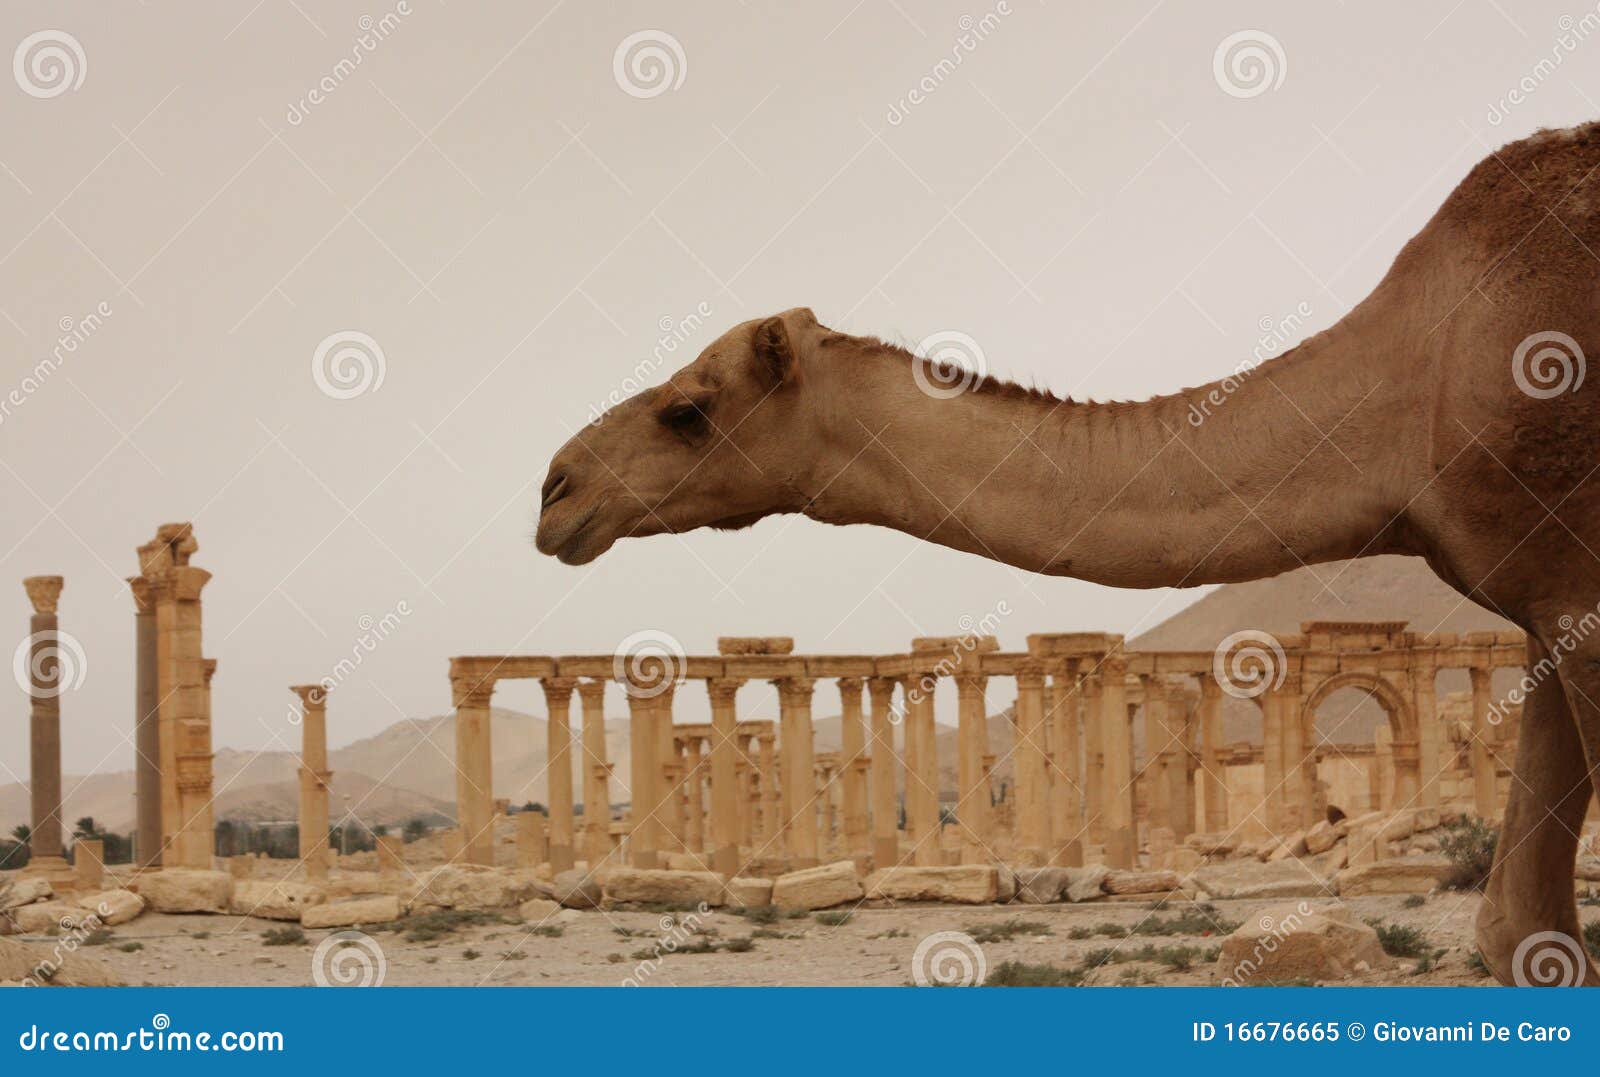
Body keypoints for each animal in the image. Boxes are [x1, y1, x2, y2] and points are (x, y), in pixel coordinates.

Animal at [536, 122, 1600, 985]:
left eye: (688, 410)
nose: (556, 491)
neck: (1413, 389)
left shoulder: (1575, 594)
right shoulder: (1546, 596)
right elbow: (1520, 937)